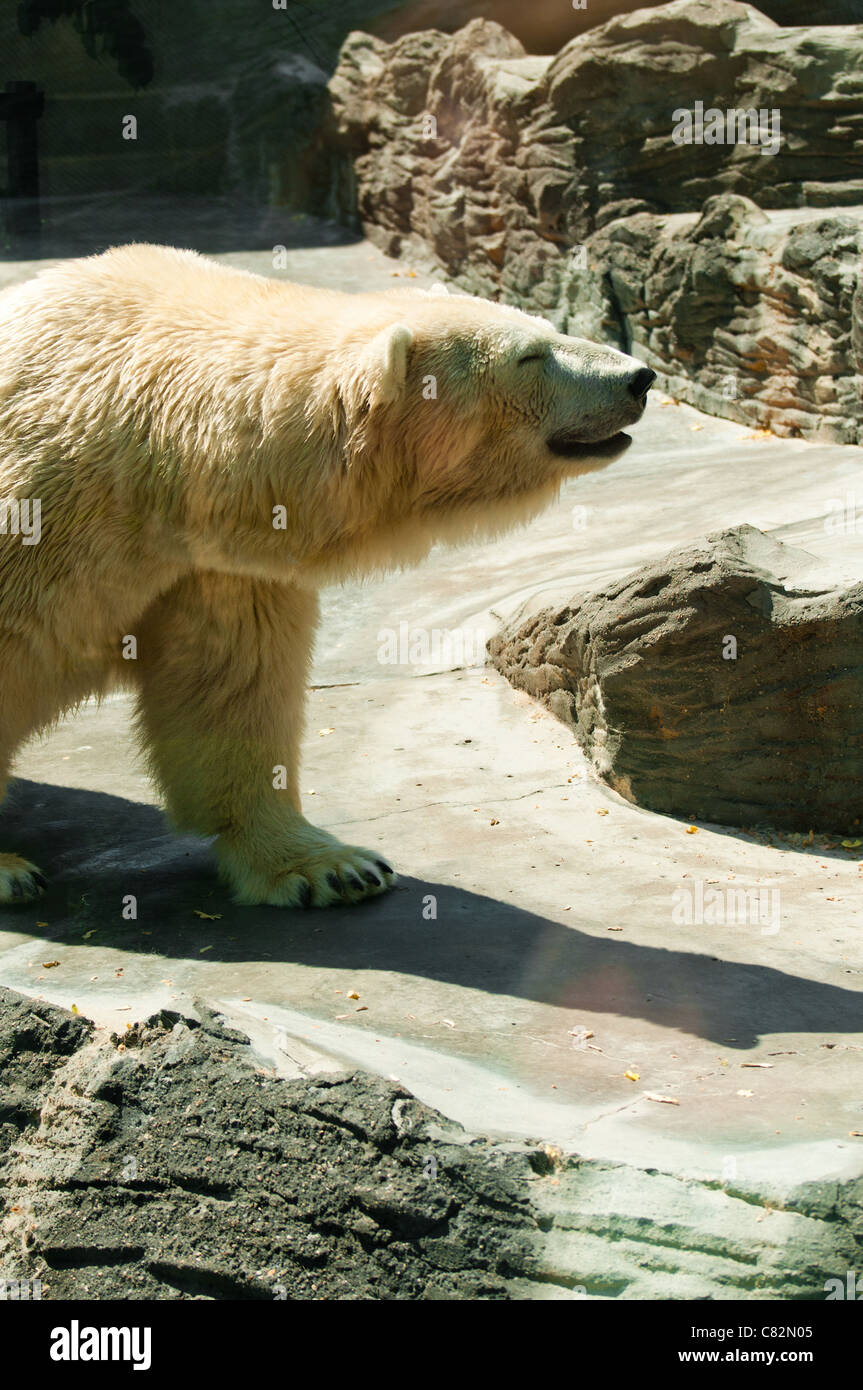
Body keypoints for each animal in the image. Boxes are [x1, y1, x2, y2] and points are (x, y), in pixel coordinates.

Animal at [0, 244, 654, 907]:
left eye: (549, 329)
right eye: (530, 354)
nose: (640, 378)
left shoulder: (217, 563)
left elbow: (229, 683)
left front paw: (332, 866)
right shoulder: (36, 520)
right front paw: (10, 871)